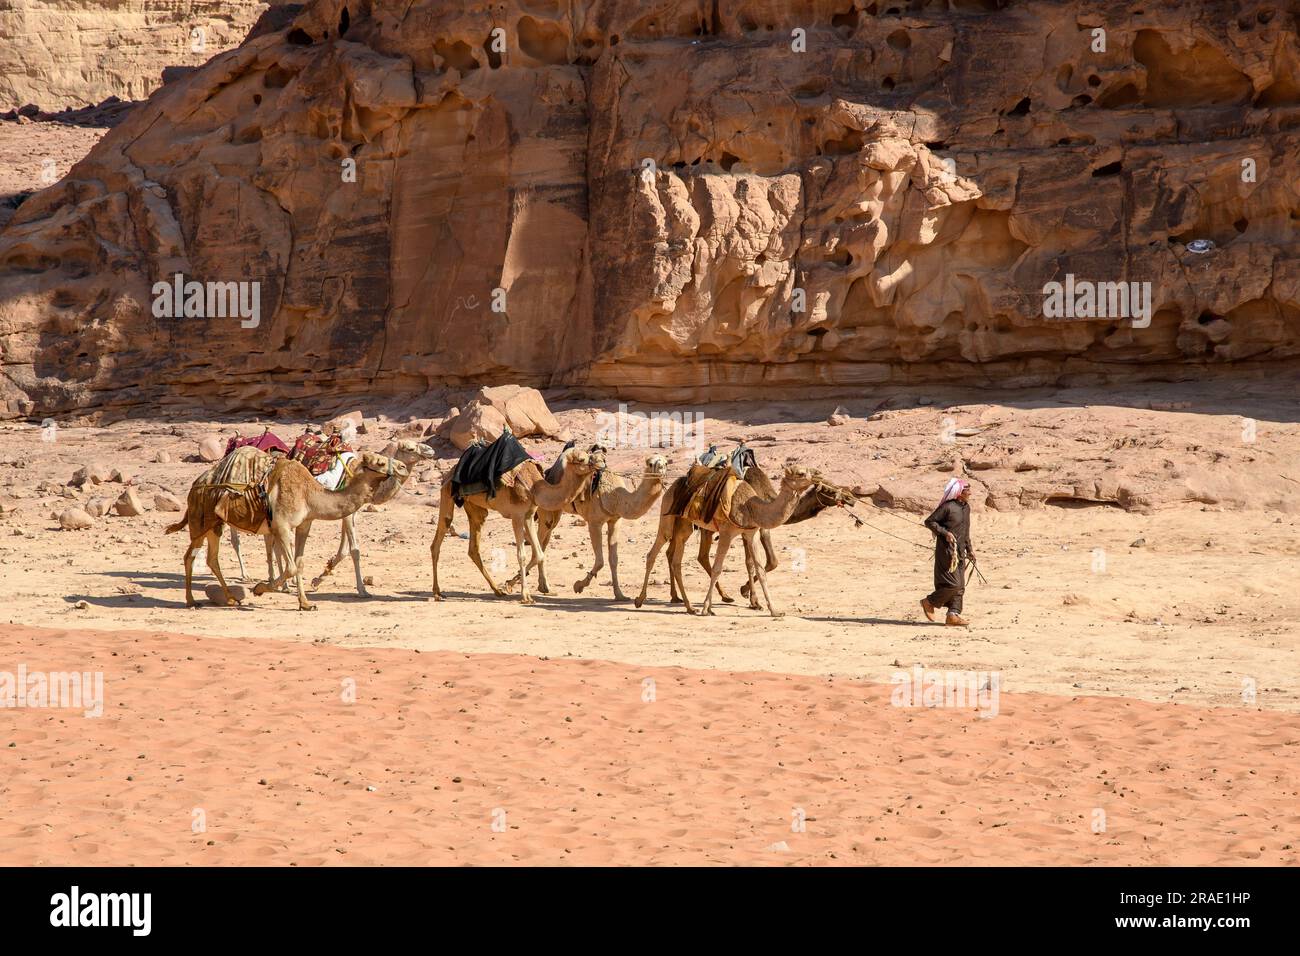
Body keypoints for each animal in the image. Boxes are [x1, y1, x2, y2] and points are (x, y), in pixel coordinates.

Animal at [166, 451, 408, 611]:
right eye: (380, 461)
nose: (403, 467)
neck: (310, 494)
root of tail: (194, 485)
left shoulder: (304, 525)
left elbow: (299, 564)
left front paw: (306, 604)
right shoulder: (281, 525)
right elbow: (291, 567)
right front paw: (259, 588)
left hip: (214, 524)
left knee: (210, 558)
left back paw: (230, 599)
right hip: (200, 522)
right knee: (191, 556)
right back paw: (191, 601)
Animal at [226, 438, 436, 596]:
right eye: (410, 448)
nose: (431, 450)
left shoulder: (348, 511)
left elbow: (344, 550)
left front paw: (319, 578)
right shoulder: (347, 511)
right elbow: (354, 550)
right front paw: (362, 589)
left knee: (271, 541)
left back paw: (281, 582)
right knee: (239, 538)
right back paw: (252, 576)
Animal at [429, 446, 597, 605]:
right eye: (582, 459)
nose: (598, 462)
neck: (534, 487)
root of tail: (449, 473)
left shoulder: (528, 515)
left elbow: (539, 553)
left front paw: (529, 588)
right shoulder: (517, 516)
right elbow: (521, 555)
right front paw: (526, 596)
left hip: (475, 508)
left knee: (473, 548)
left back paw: (497, 590)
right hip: (447, 494)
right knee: (438, 539)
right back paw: (437, 592)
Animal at [511, 454, 670, 601]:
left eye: (666, 462)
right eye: (650, 463)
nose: (661, 468)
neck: (616, 497)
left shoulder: (614, 521)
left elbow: (614, 559)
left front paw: (619, 594)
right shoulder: (594, 522)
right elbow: (600, 561)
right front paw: (579, 585)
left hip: (555, 511)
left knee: (543, 542)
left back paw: (543, 587)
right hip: (545, 511)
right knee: (538, 542)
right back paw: (516, 581)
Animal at [634, 463, 815, 617]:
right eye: (800, 473)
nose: (816, 476)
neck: (751, 506)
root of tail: (670, 486)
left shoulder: (752, 534)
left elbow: (761, 570)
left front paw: (774, 610)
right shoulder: (727, 532)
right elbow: (717, 569)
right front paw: (706, 608)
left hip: (685, 525)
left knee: (676, 561)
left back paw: (689, 606)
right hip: (668, 514)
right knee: (654, 552)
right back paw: (640, 600)